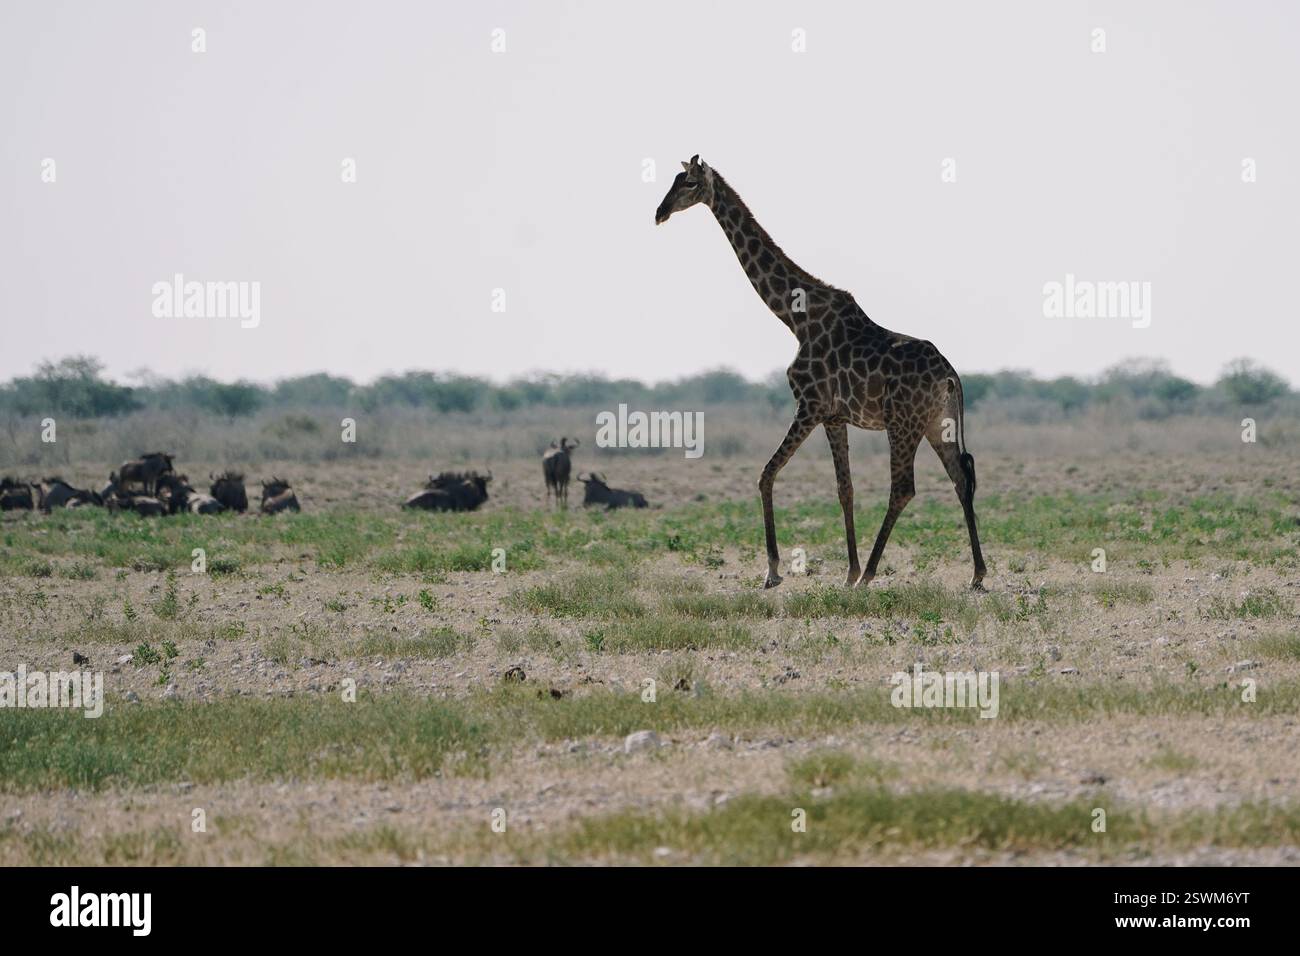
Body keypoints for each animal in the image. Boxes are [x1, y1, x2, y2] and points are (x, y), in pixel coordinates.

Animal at [656, 155, 987, 590]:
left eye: (690, 183)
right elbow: (844, 488)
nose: (659, 212)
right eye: (675, 180)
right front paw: (847, 572)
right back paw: (977, 574)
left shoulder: (809, 405)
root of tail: (950, 376)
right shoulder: (833, 416)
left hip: (903, 423)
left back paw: (872, 575)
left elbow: (766, 475)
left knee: (903, 488)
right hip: (937, 423)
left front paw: (774, 571)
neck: (795, 317)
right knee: (960, 477)